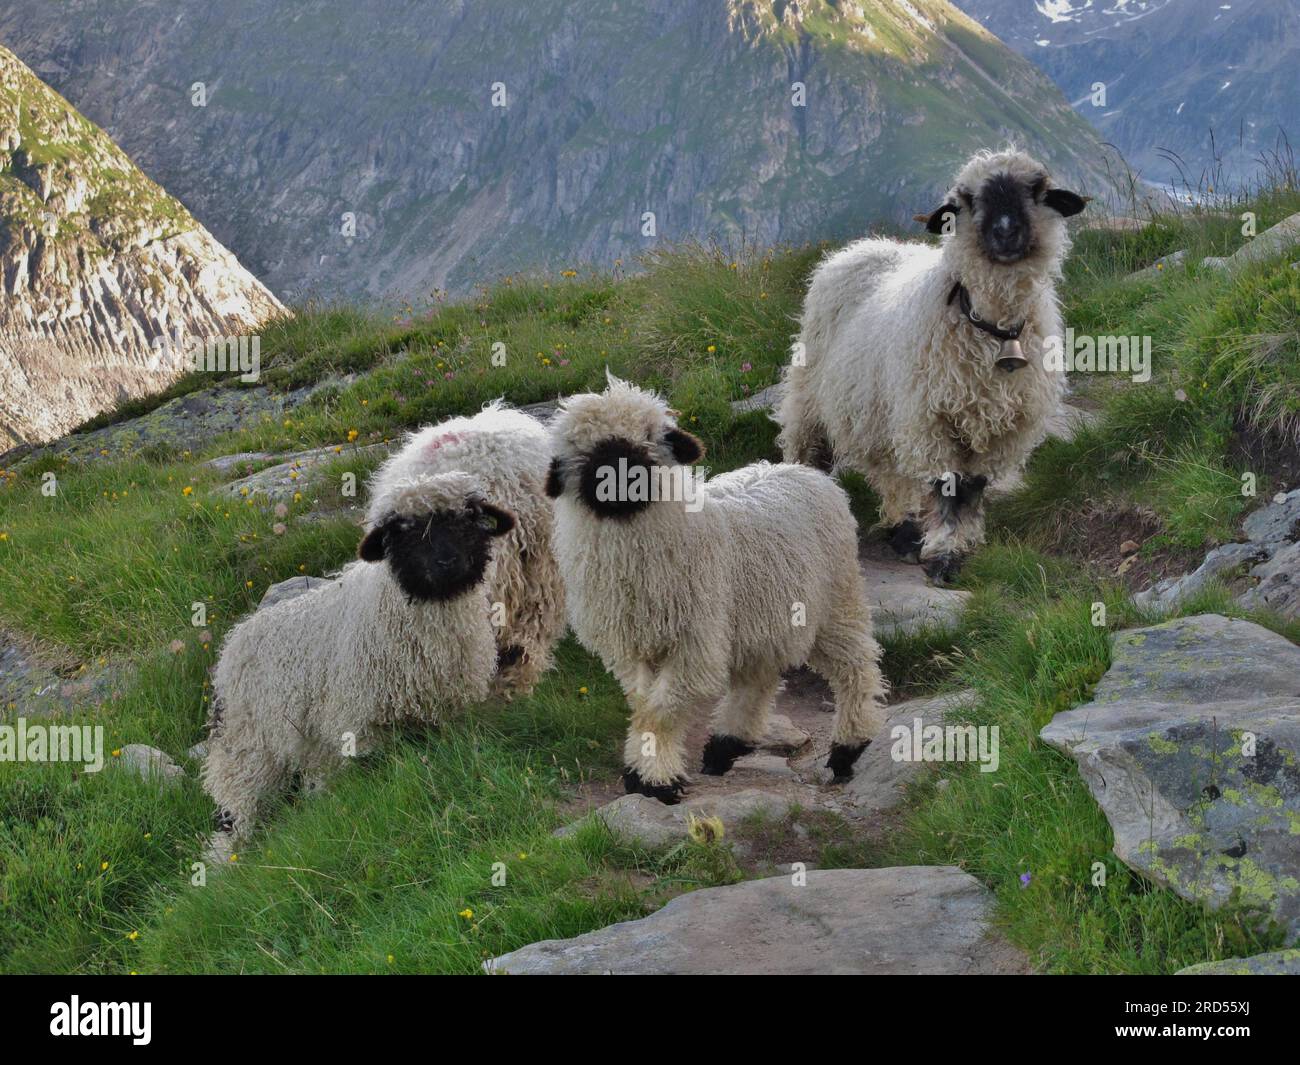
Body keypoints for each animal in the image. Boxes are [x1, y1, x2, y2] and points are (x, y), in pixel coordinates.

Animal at [202, 470, 518, 840]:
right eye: (403, 531)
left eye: (468, 518)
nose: (447, 562)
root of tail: (230, 647)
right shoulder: (357, 721)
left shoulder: (447, 710)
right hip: (248, 748)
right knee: (237, 807)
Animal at [546, 374, 887, 803]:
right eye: (580, 446)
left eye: (649, 437)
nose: (619, 473)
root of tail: (806, 471)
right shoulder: (630, 648)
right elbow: (642, 704)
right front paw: (641, 772)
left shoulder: (695, 643)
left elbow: (661, 710)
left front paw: (656, 781)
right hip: (761, 613)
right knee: (759, 677)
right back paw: (727, 745)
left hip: (834, 601)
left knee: (856, 665)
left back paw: (848, 746)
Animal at [776, 148, 1088, 583]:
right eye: (966, 201)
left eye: (1037, 190)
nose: (1005, 232)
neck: (992, 328)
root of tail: (865, 247)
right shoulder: (931, 418)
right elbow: (947, 486)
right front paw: (944, 556)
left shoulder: (1003, 430)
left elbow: (971, 488)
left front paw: (957, 549)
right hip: (814, 396)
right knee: (813, 451)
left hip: (880, 408)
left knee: (888, 470)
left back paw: (903, 530)